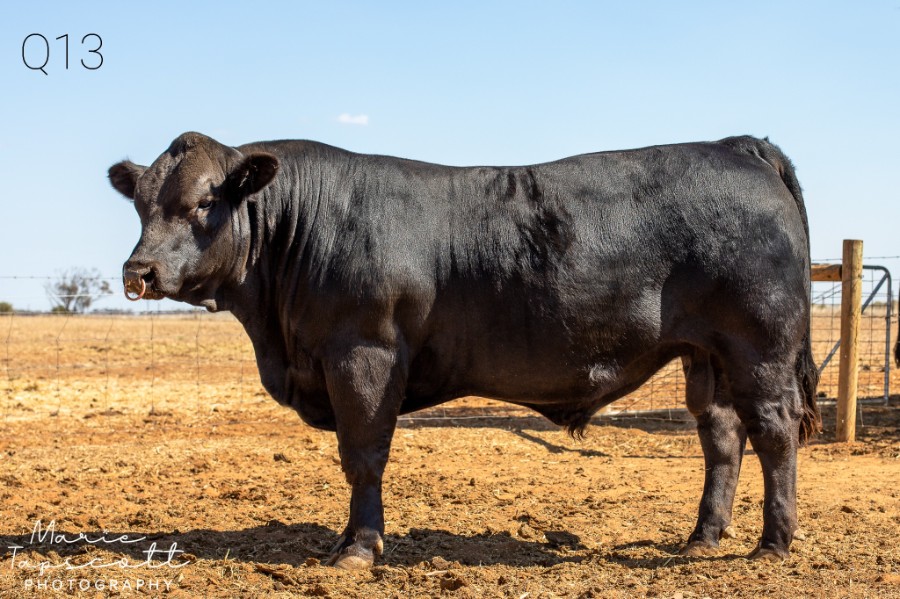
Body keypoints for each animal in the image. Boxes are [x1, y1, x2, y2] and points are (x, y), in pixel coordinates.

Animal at [109, 132, 820, 569]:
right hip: (707, 355)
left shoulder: (363, 356)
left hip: (760, 346)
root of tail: (738, 146)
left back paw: (774, 544)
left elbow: (362, 456)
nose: (137, 271)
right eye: (141, 206)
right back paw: (702, 539)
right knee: (721, 434)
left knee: (774, 430)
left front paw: (358, 549)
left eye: (204, 203)